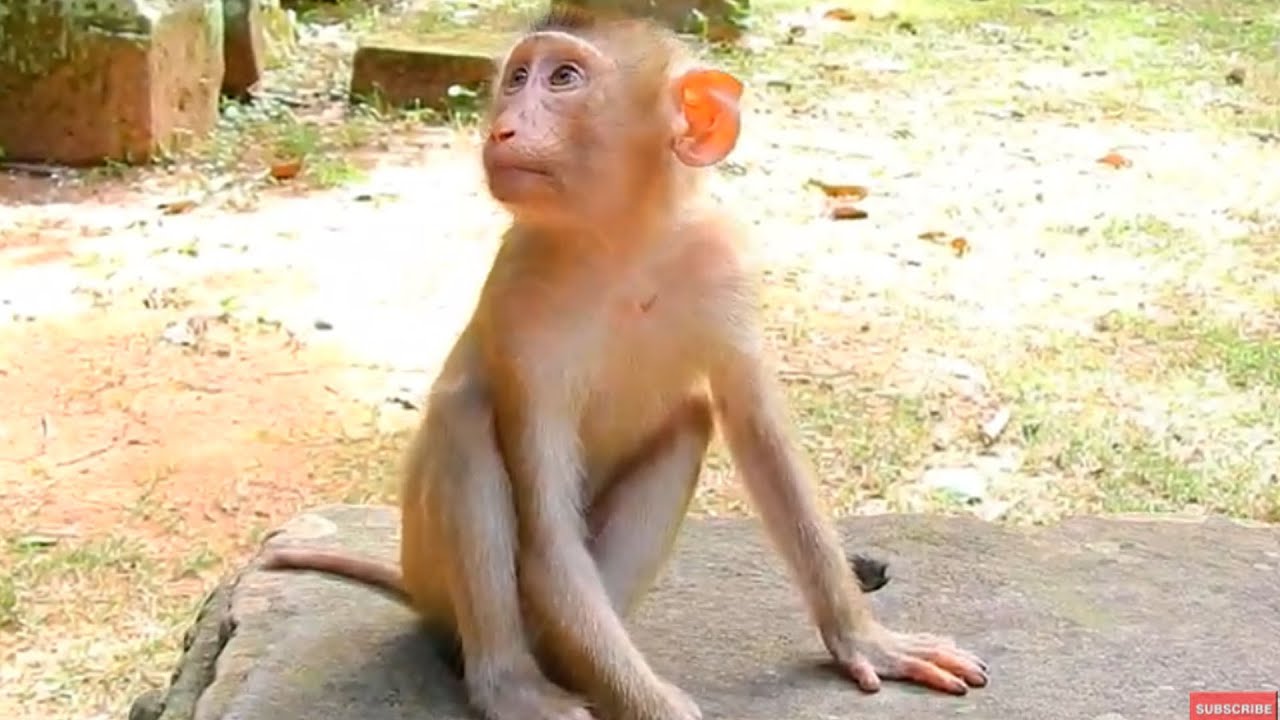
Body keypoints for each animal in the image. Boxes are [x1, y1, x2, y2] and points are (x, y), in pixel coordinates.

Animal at [259, 7, 987, 720]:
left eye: (563, 79)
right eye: (517, 77)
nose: (502, 126)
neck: (620, 246)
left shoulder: (721, 264)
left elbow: (763, 445)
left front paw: (864, 638)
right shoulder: (520, 300)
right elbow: (549, 538)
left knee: (688, 422)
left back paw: (564, 660)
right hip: (433, 573)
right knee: (464, 419)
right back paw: (512, 686)